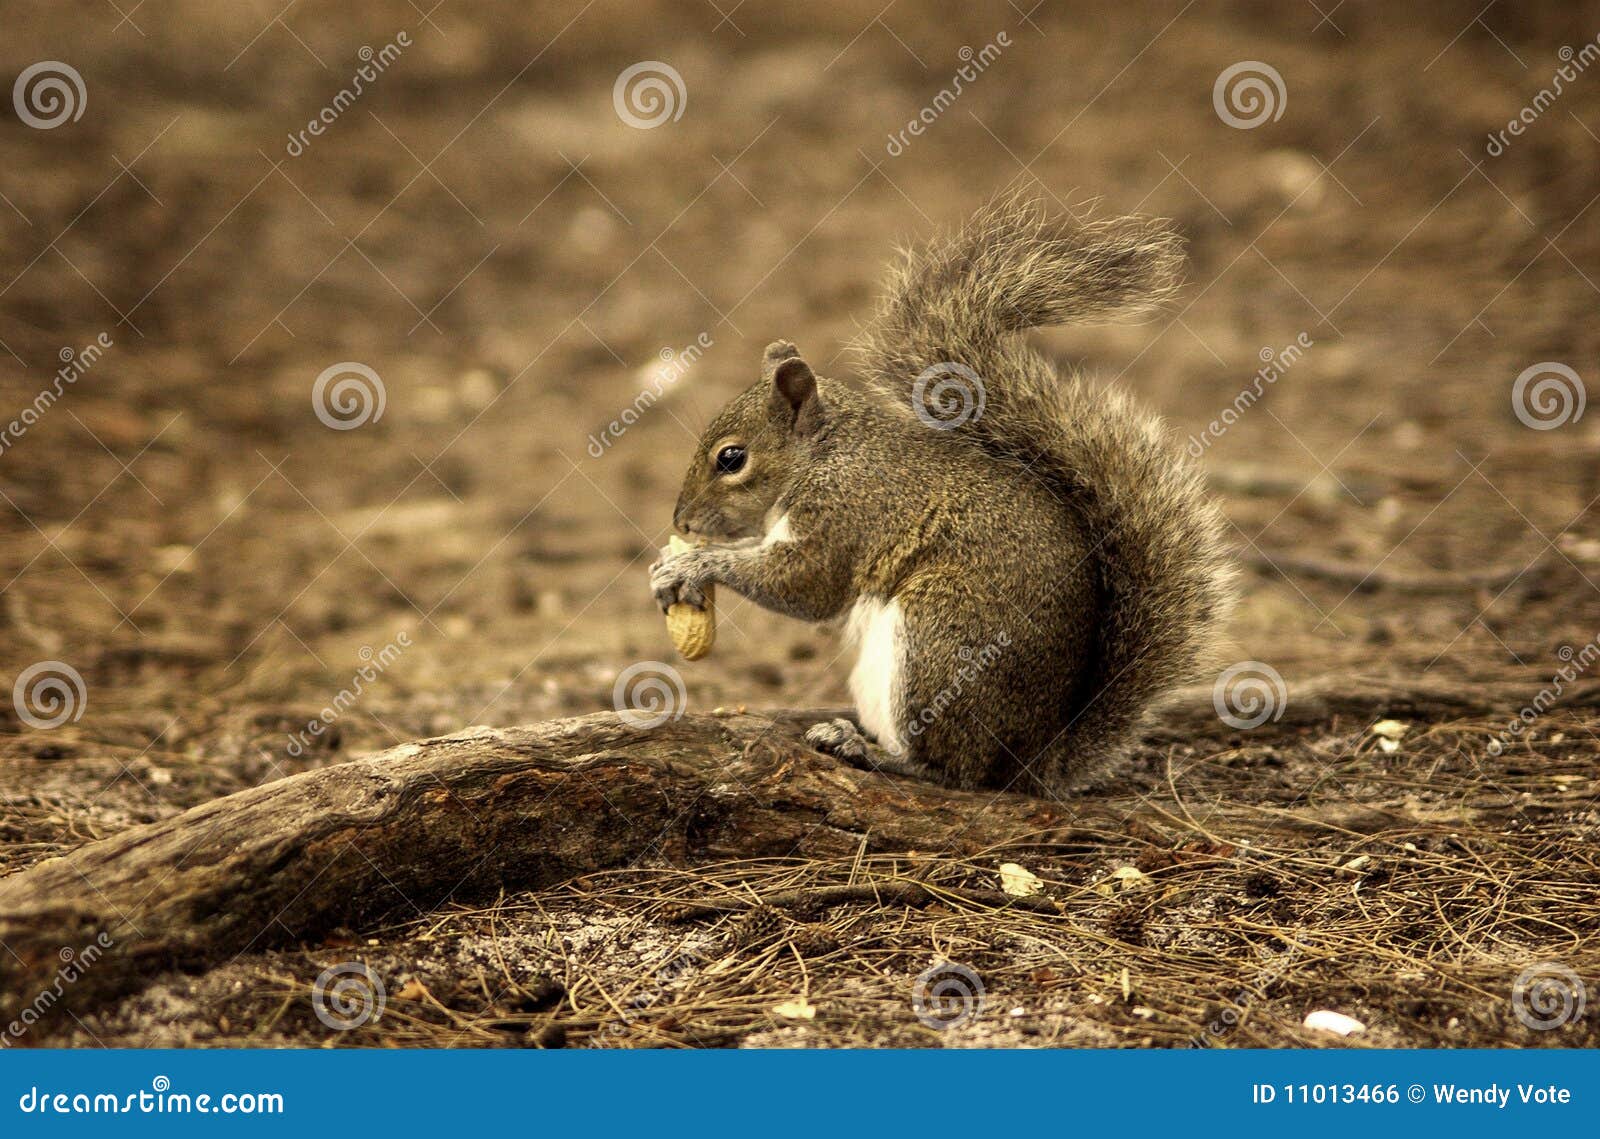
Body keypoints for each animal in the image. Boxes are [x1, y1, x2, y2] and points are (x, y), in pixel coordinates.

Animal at [649, 196, 1236, 796]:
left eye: (731, 458)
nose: (683, 521)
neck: (824, 456)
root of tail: (1029, 759)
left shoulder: (844, 513)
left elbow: (805, 585)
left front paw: (694, 564)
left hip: (939, 639)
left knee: (955, 770)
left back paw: (872, 752)